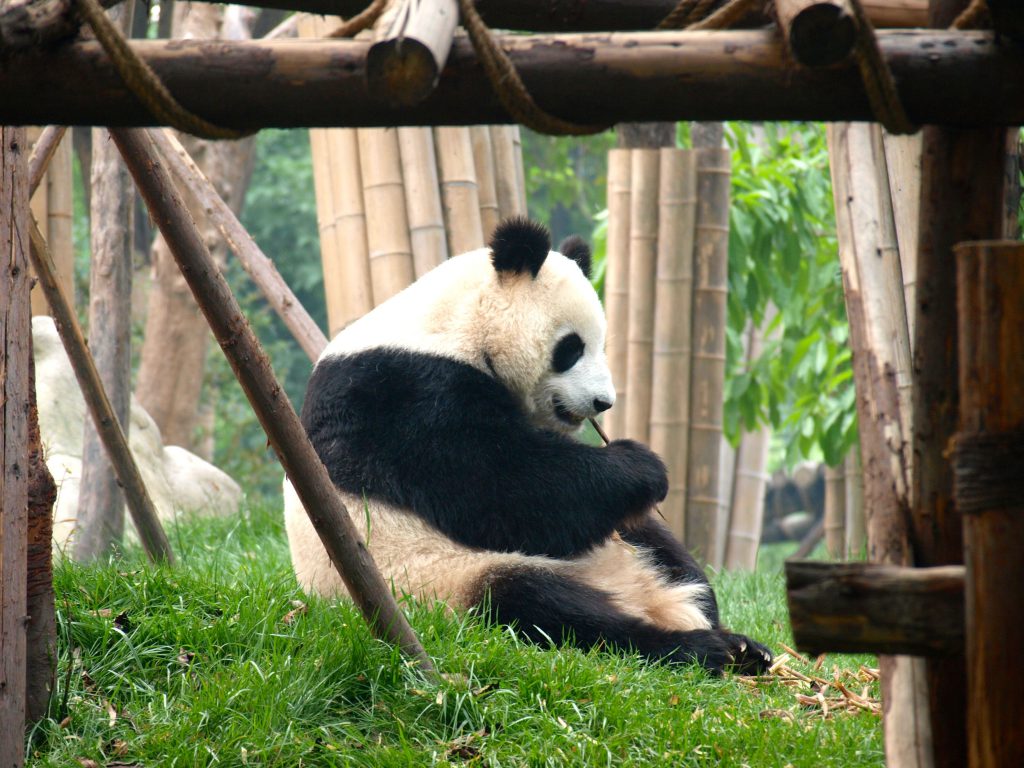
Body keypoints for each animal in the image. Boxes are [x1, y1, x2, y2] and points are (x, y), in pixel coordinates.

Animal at [284, 217, 772, 675]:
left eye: (603, 345)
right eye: (571, 347)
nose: (603, 402)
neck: (456, 324)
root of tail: (643, 596)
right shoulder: (403, 395)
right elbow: (502, 489)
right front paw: (642, 465)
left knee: (667, 554)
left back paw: (740, 644)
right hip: (441, 581)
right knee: (544, 606)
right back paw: (694, 648)